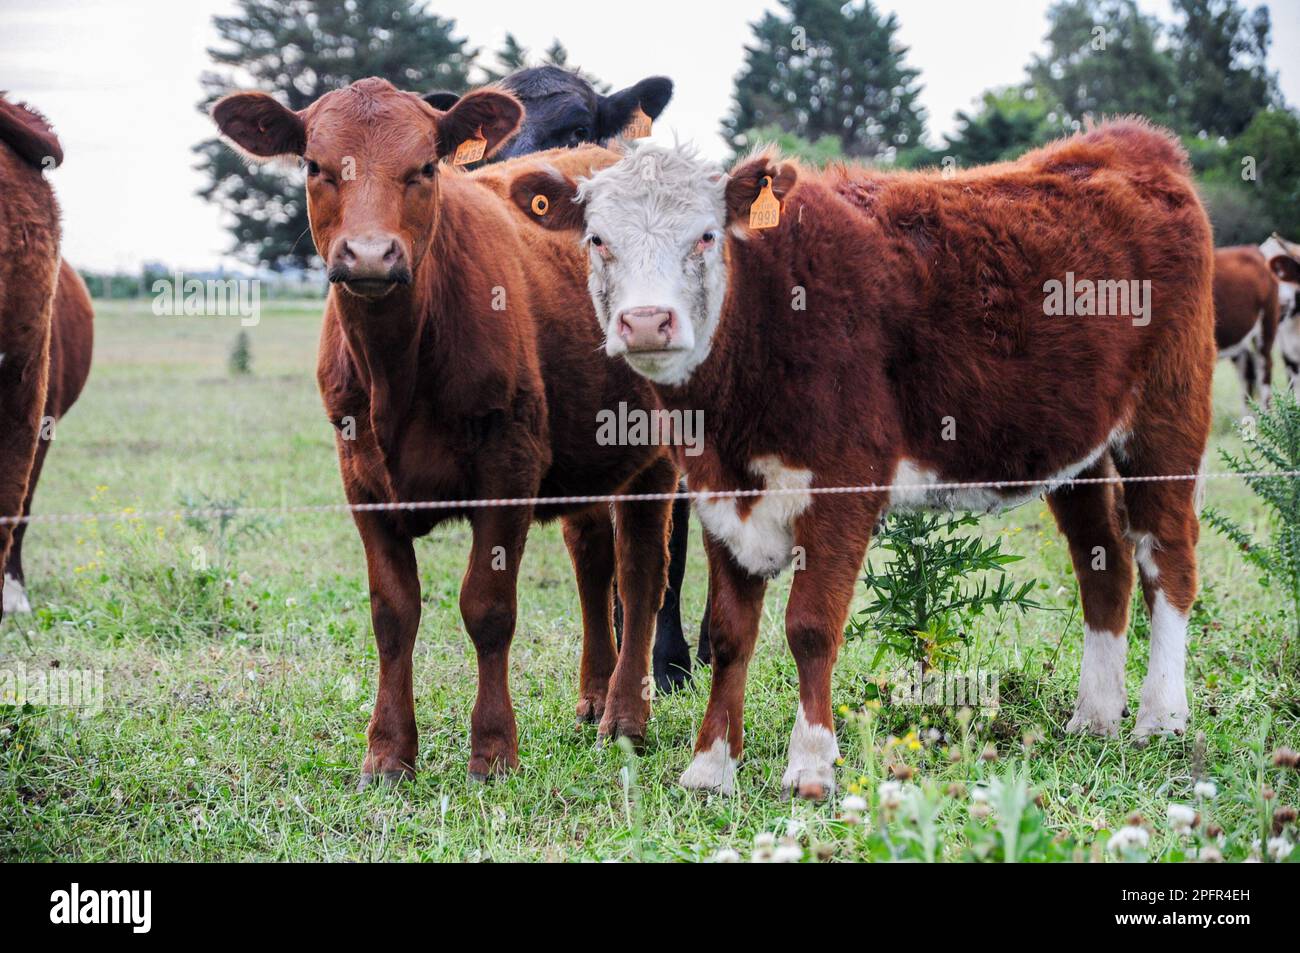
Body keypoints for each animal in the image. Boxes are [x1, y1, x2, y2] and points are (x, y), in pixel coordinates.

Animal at [213, 78, 677, 786]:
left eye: (426, 167)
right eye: (316, 166)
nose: (369, 255)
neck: (396, 368)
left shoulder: (509, 464)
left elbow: (487, 608)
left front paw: (493, 751)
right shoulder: (360, 478)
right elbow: (392, 612)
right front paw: (387, 752)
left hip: (660, 451)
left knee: (642, 574)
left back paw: (626, 718)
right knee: (594, 561)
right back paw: (595, 696)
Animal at [508, 119, 1216, 799]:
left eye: (706, 236)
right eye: (597, 239)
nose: (647, 321)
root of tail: (1128, 144)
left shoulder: (844, 486)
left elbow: (810, 626)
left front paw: (811, 765)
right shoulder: (718, 492)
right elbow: (732, 633)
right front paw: (711, 767)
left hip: (1167, 417)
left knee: (1168, 558)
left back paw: (1160, 717)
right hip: (1075, 446)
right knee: (1105, 561)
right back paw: (1094, 715)